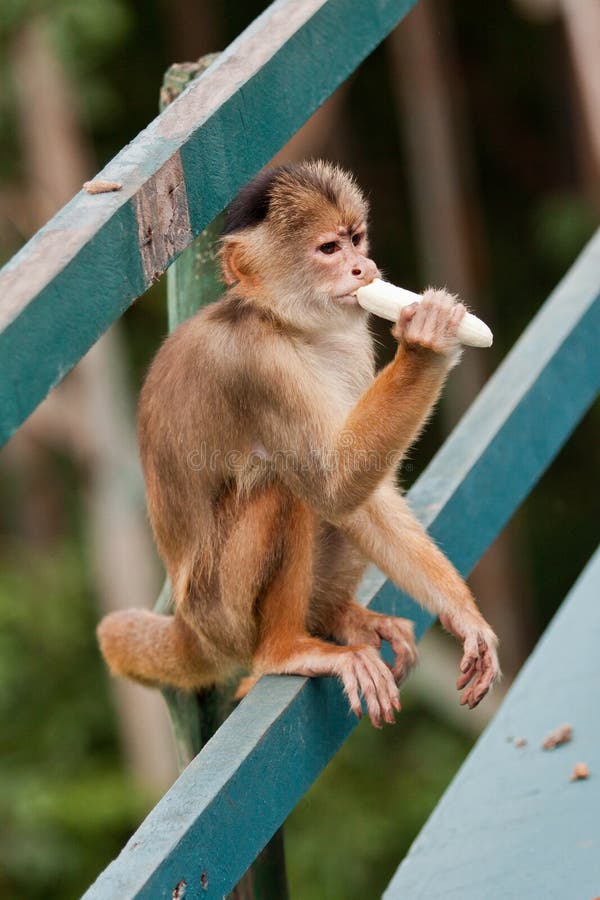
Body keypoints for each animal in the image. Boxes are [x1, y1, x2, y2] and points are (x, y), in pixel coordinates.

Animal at [97, 160, 499, 728]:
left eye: (356, 239)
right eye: (329, 249)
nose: (363, 268)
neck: (285, 324)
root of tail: (189, 629)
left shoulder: (351, 339)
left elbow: (358, 496)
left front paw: (463, 615)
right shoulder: (255, 365)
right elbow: (334, 483)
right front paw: (427, 341)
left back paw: (337, 615)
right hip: (222, 616)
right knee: (283, 489)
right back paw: (285, 649)